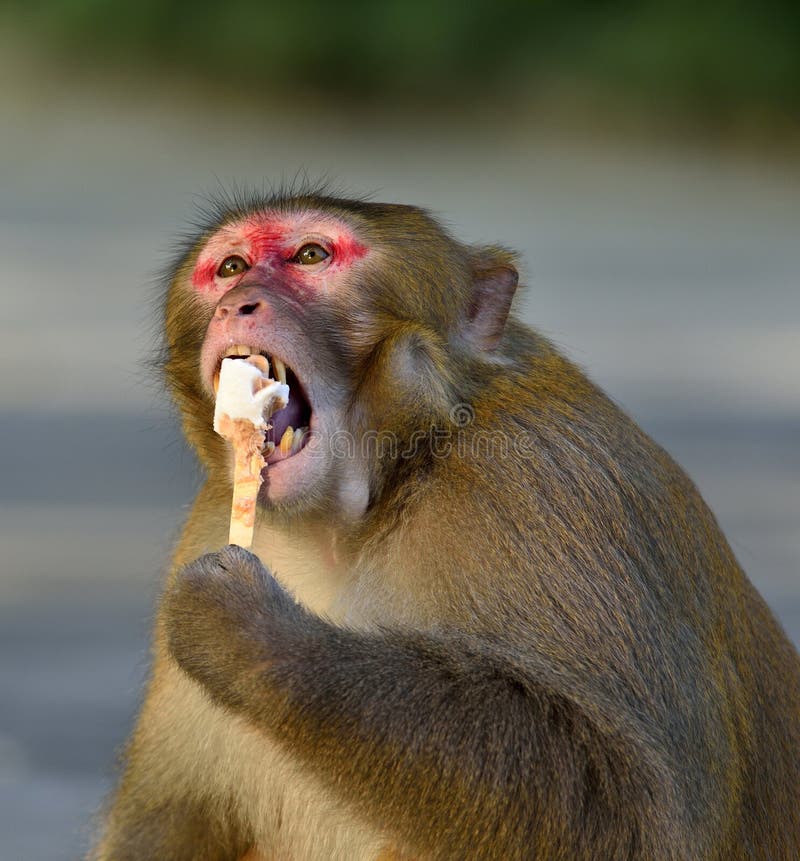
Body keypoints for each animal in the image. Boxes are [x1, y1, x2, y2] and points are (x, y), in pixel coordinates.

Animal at [91, 188, 800, 861]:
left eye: (311, 255)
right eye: (231, 267)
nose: (238, 303)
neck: (350, 522)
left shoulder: (544, 481)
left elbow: (636, 809)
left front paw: (251, 634)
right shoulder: (215, 516)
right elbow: (165, 821)